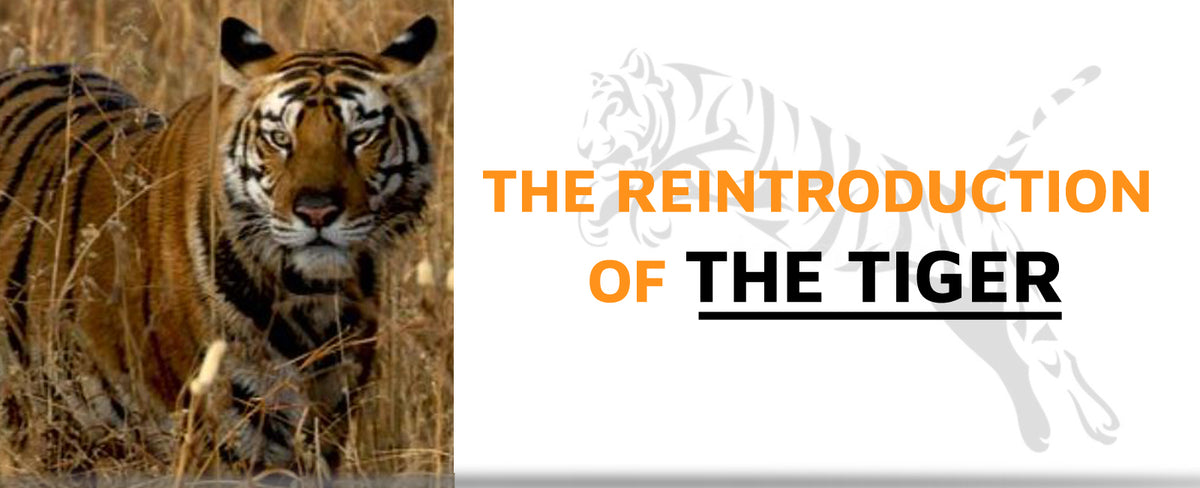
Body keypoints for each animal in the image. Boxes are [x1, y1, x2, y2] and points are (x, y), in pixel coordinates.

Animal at [0, 13, 438, 478]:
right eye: (281, 139)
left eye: (360, 137)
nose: (317, 212)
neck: (311, 301)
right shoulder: (227, 431)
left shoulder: (330, 423)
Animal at [576, 50, 1119, 452]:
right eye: (585, 113)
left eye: (613, 108)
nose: (581, 148)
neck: (689, 105)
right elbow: (642, 177)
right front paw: (606, 220)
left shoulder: (735, 156)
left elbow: (662, 168)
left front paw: (645, 216)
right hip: (967, 315)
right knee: (1013, 364)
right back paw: (1037, 435)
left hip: (1012, 301)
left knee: (1055, 357)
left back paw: (1102, 423)